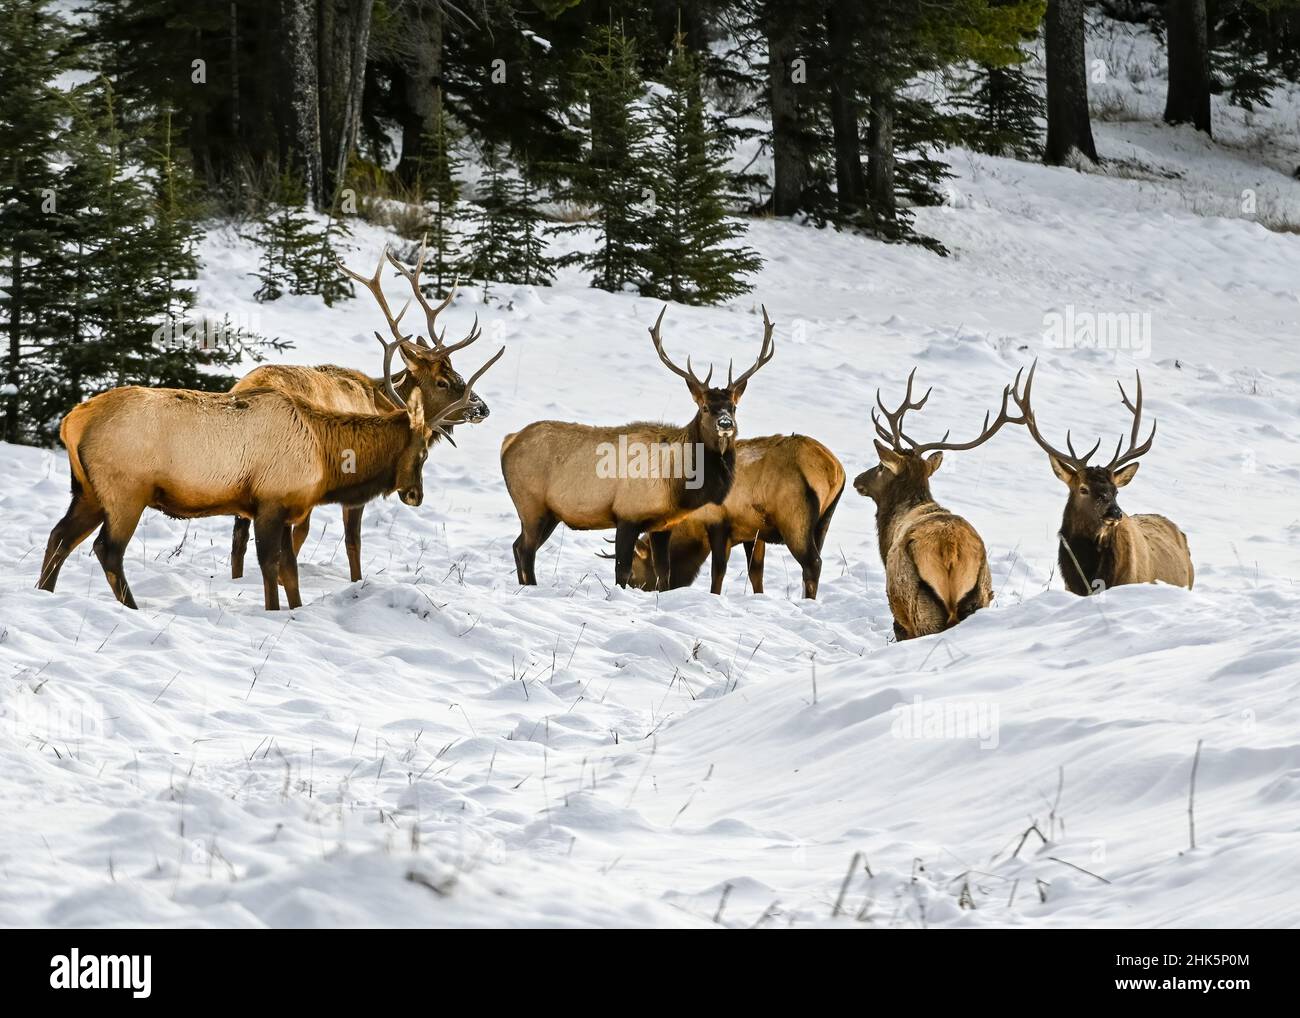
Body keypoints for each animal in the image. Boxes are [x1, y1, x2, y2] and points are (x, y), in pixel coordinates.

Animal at [36, 335, 502, 611]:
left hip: (87, 491)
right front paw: (275, 610)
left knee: (59, 536)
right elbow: (271, 566)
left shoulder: (286, 508)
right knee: (106, 549)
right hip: (125, 492)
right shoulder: (270, 504)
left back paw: (44, 592)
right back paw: (130, 607)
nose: (415, 494)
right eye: (421, 452)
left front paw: (294, 609)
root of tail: (71, 422)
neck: (326, 455)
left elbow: (288, 571)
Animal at [500, 307, 775, 587]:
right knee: (526, 549)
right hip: (531, 503)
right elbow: (622, 572)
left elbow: (663, 572)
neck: (677, 484)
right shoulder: (627, 516)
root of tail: (508, 440)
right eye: (705, 407)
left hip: (549, 513)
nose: (725, 423)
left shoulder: (662, 525)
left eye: (733, 406)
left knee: (517, 545)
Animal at [608, 434, 844, 598]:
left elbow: (718, 570)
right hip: (823, 521)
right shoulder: (753, 533)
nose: (640, 590)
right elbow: (755, 573)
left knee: (813, 562)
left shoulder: (719, 523)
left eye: (635, 573)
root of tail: (833, 470)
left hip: (795, 520)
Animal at [853, 371, 1025, 641]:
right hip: (980, 595)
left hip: (917, 603)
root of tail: (949, 550)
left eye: (880, 467)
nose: (857, 480)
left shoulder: (899, 618)